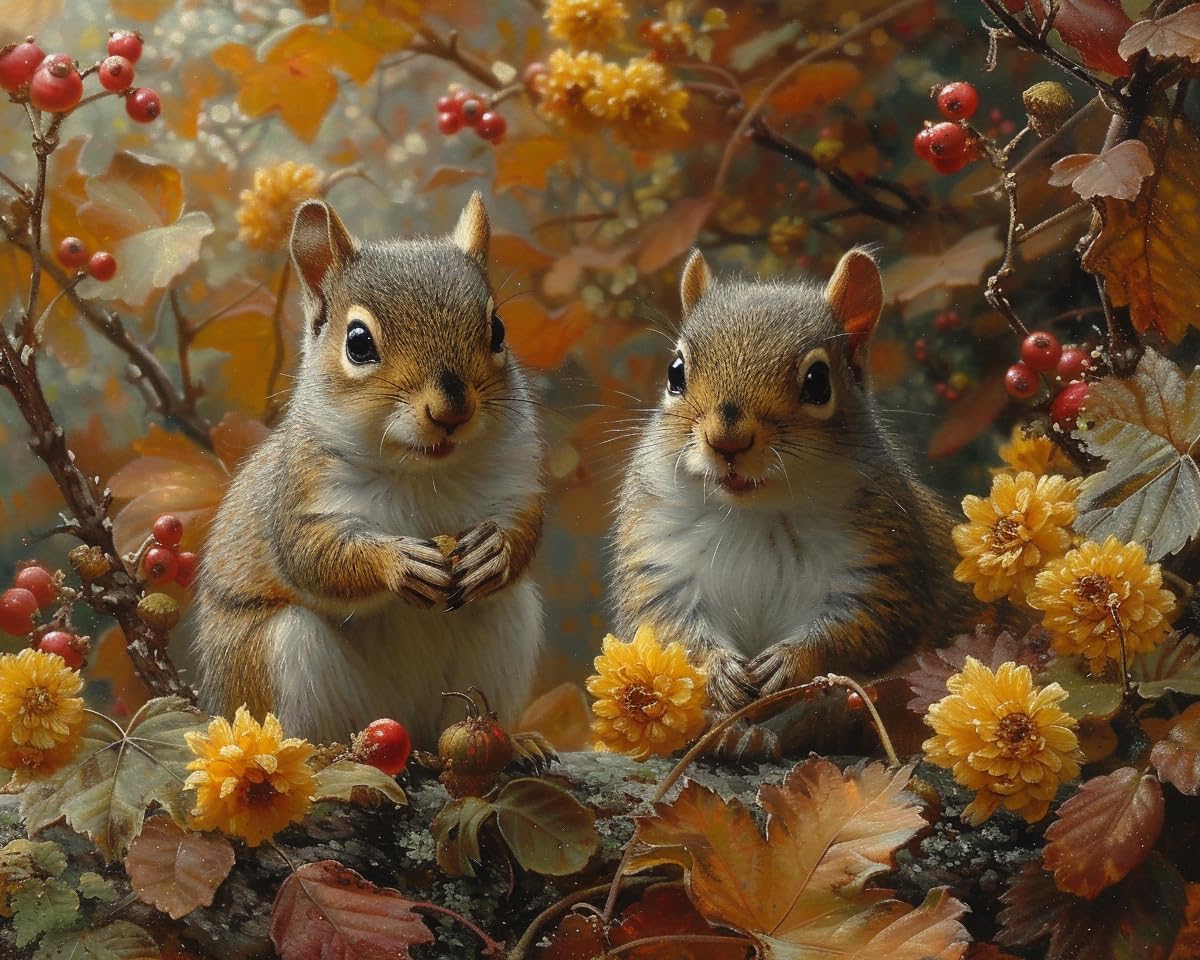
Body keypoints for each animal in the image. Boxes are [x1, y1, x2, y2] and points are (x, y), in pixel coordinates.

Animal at [193, 193, 545, 749]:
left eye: (498, 330)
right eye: (358, 342)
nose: (452, 411)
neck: (421, 471)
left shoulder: (514, 473)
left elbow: (527, 525)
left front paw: (496, 550)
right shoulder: (300, 492)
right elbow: (312, 556)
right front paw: (397, 562)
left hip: (506, 623)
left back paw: (512, 744)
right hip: (275, 656)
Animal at [611, 248, 969, 758]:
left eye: (818, 382)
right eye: (675, 373)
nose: (727, 441)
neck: (756, 511)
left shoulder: (879, 564)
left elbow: (867, 624)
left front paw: (791, 662)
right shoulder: (659, 557)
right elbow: (664, 626)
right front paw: (718, 670)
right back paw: (731, 734)